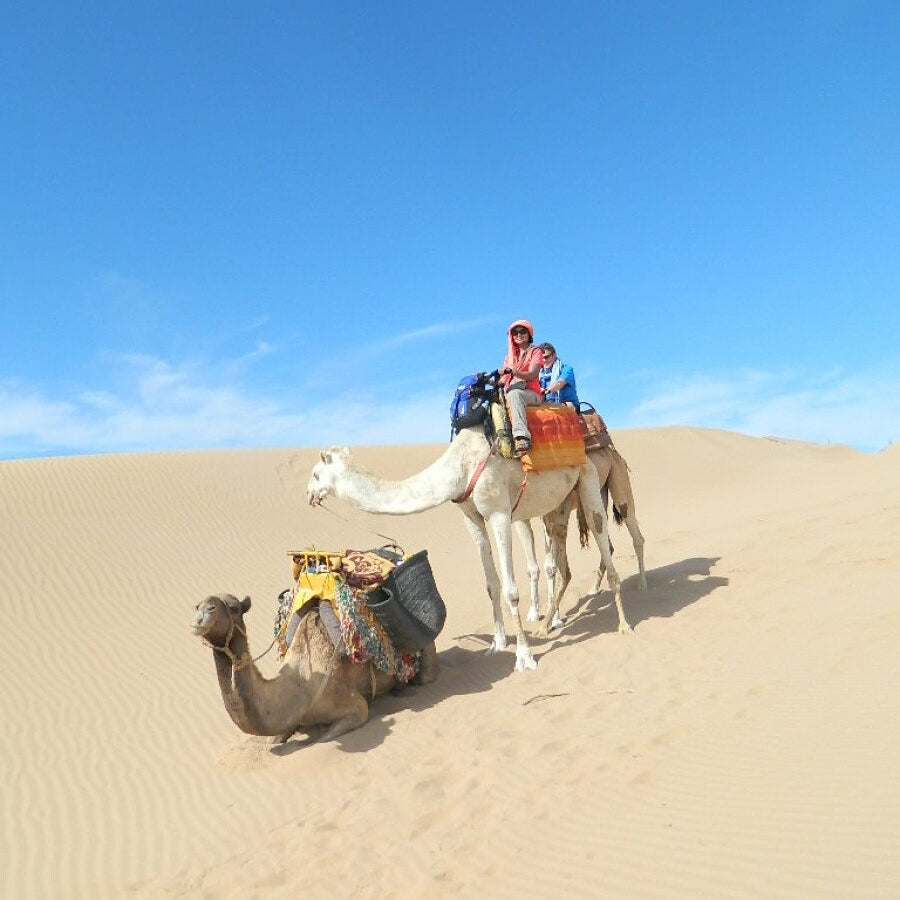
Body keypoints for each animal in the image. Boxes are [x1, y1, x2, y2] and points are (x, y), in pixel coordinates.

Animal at [192, 593, 438, 743]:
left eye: (234, 608)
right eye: (197, 606)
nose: (203, 613)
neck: (299, 687)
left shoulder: (352, 704)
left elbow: (326, 736)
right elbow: (274, 740)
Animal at [306, 428, 625, 673]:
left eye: (317, 473)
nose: (308, 494)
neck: (459, 469)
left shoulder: (499, 512)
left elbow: (511, 589)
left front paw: (524, 656)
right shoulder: (472, 518)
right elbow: (491, 585)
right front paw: (497, 644)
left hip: (588, 479)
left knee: (603, 542)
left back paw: (622, 624)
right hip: (558, 500)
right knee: (560, 556)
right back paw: (551, 622)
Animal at [517, 444, 647, 629]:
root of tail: (613, 451)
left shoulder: (551, 510)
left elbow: (551, 566)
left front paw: (555, 619)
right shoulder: (521, 516)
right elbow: (533, 567)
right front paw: (534, 614)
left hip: (619, 481)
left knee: (635, 534)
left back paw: (642, 584)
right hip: (597, 494)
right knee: (608, 544)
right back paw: (594, 589)